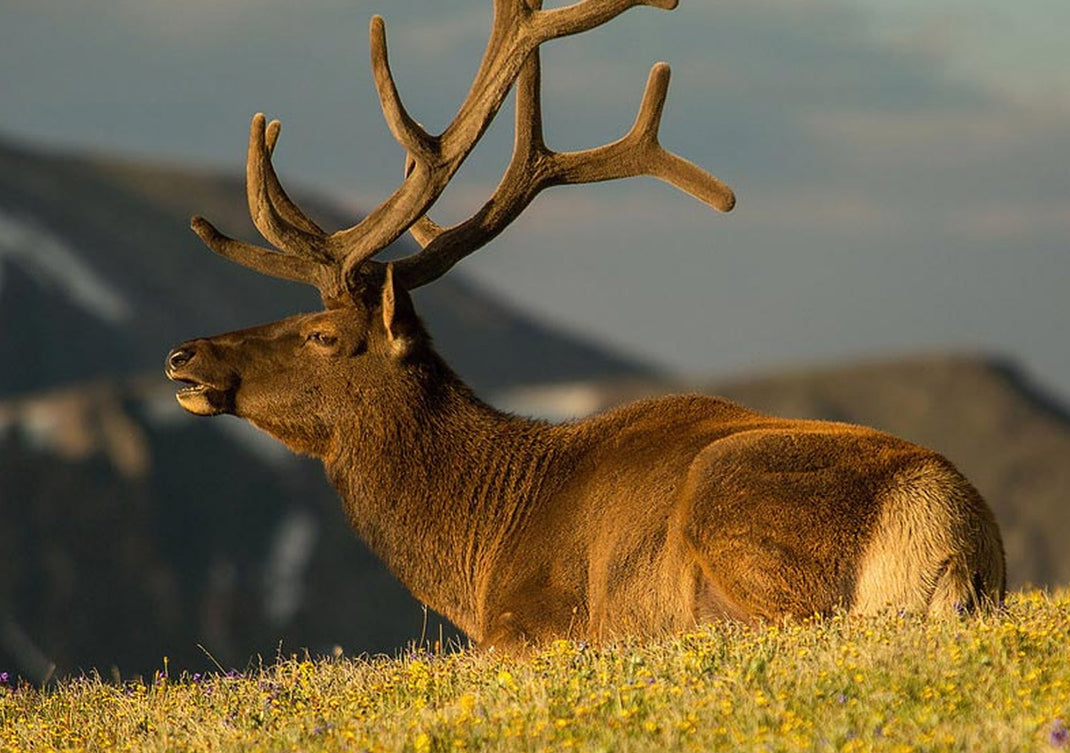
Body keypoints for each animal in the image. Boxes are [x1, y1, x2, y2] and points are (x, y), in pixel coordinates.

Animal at [166, 0, 1005, 651]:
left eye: (322, 333)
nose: (184, 354)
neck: (480, 553)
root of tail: (945, 526)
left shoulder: (531, 620)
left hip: (733, 501)